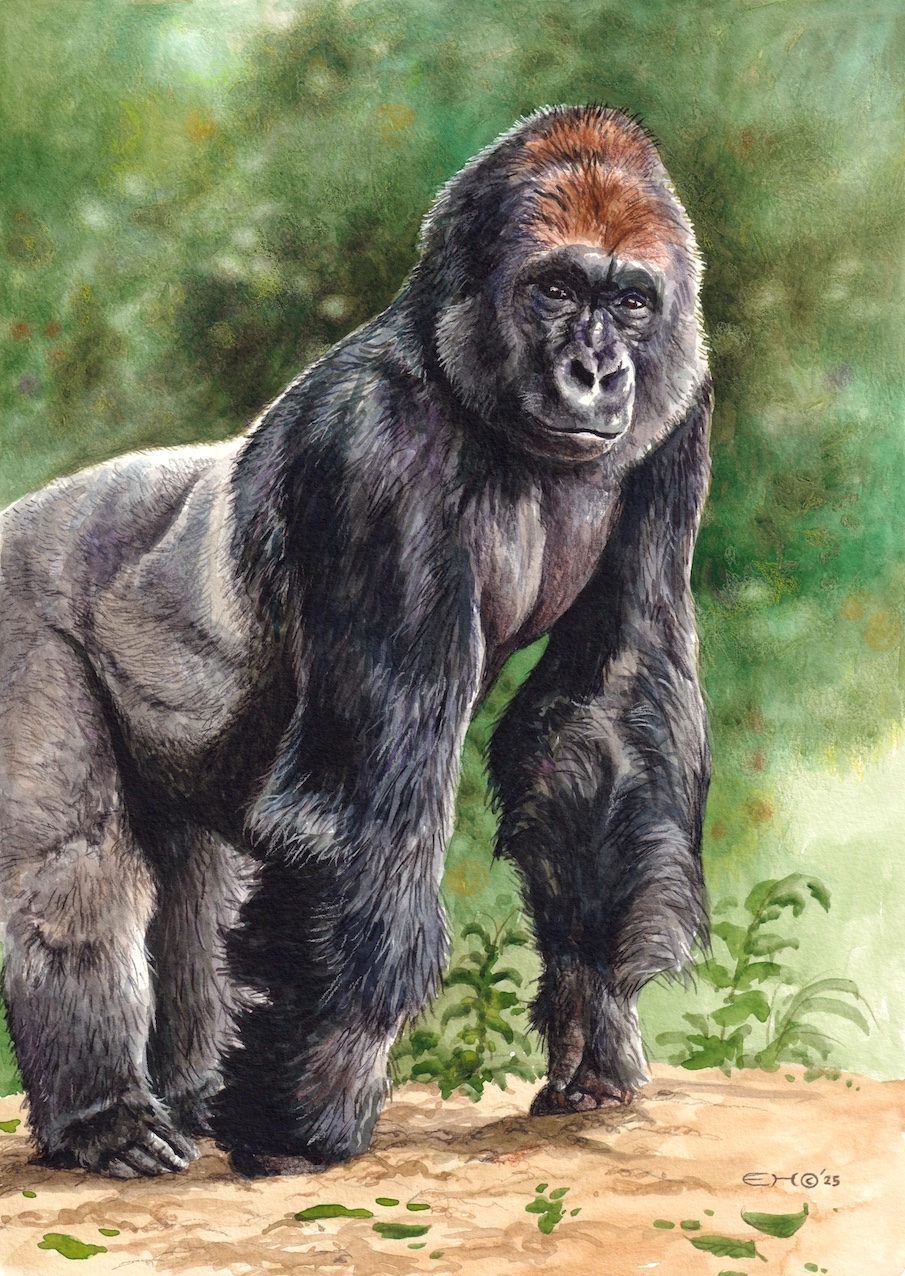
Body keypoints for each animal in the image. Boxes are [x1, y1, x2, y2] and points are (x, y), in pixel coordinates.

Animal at [0, 105, 710, 1178]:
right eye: (555, 290)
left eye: (629, 301)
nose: (595, 373)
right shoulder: (375, 451)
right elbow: (360, 821)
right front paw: (306, 1114)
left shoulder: (680, 416)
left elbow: (604, 719)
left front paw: (595, 1025)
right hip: (16, 607)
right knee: (72, 864)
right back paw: (104, 1118)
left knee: (197, 892)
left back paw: (188, 1089)